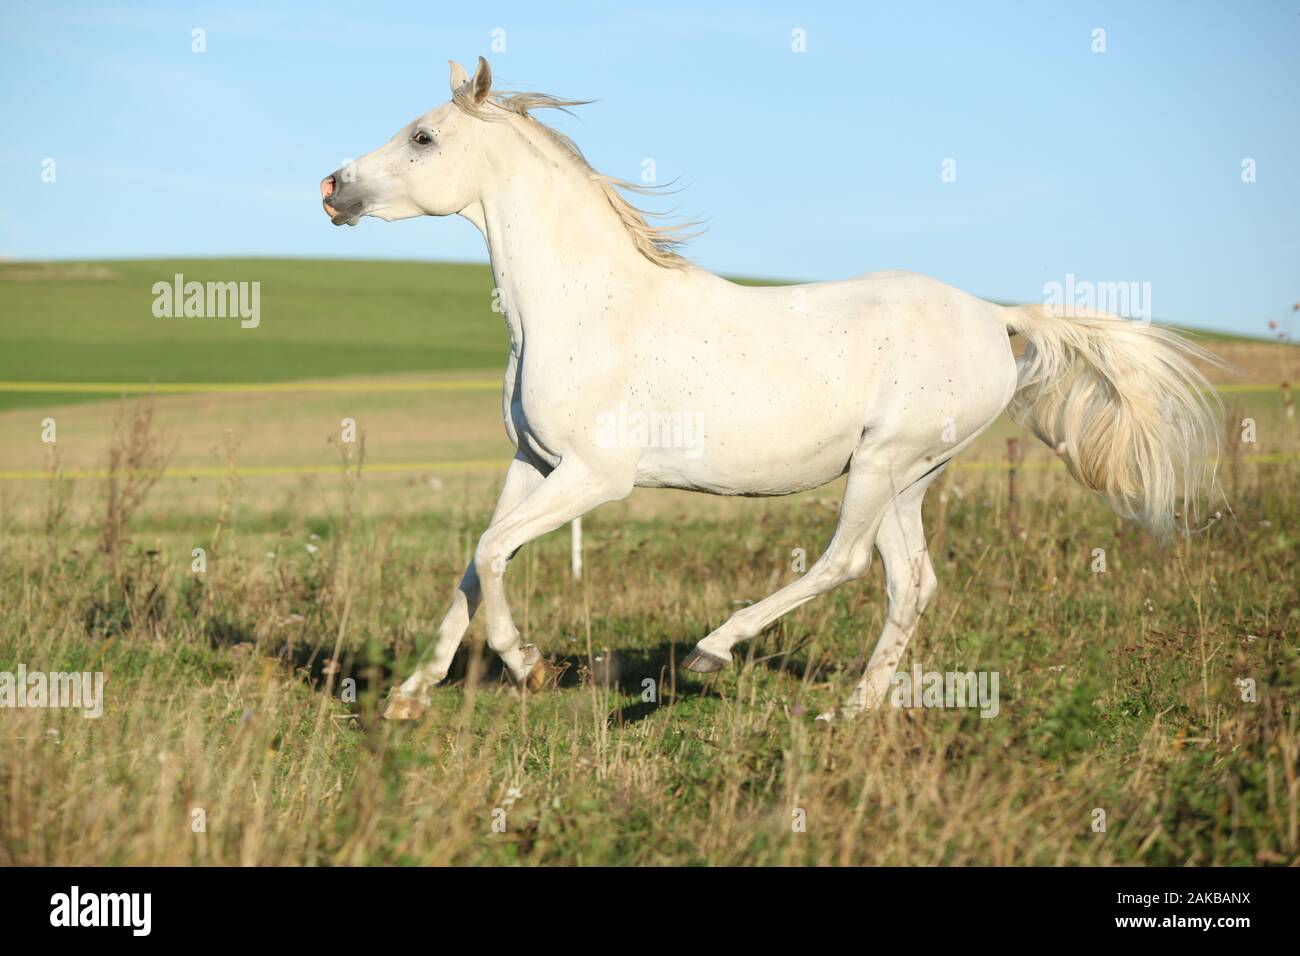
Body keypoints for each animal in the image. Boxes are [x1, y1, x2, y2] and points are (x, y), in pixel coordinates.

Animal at [319, 57, 1220, 722]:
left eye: (423, 136)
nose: (333, 187)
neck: (584, 305)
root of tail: (995, 316)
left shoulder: (596, 477)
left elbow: (492, 553)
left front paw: (529, 666)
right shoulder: (533, 463)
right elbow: (477, 562)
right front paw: (409, 697)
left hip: (882, 464)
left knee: (845, 561)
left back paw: (713, 651)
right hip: (911, 475)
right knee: (911, 583)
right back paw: (850, 710)